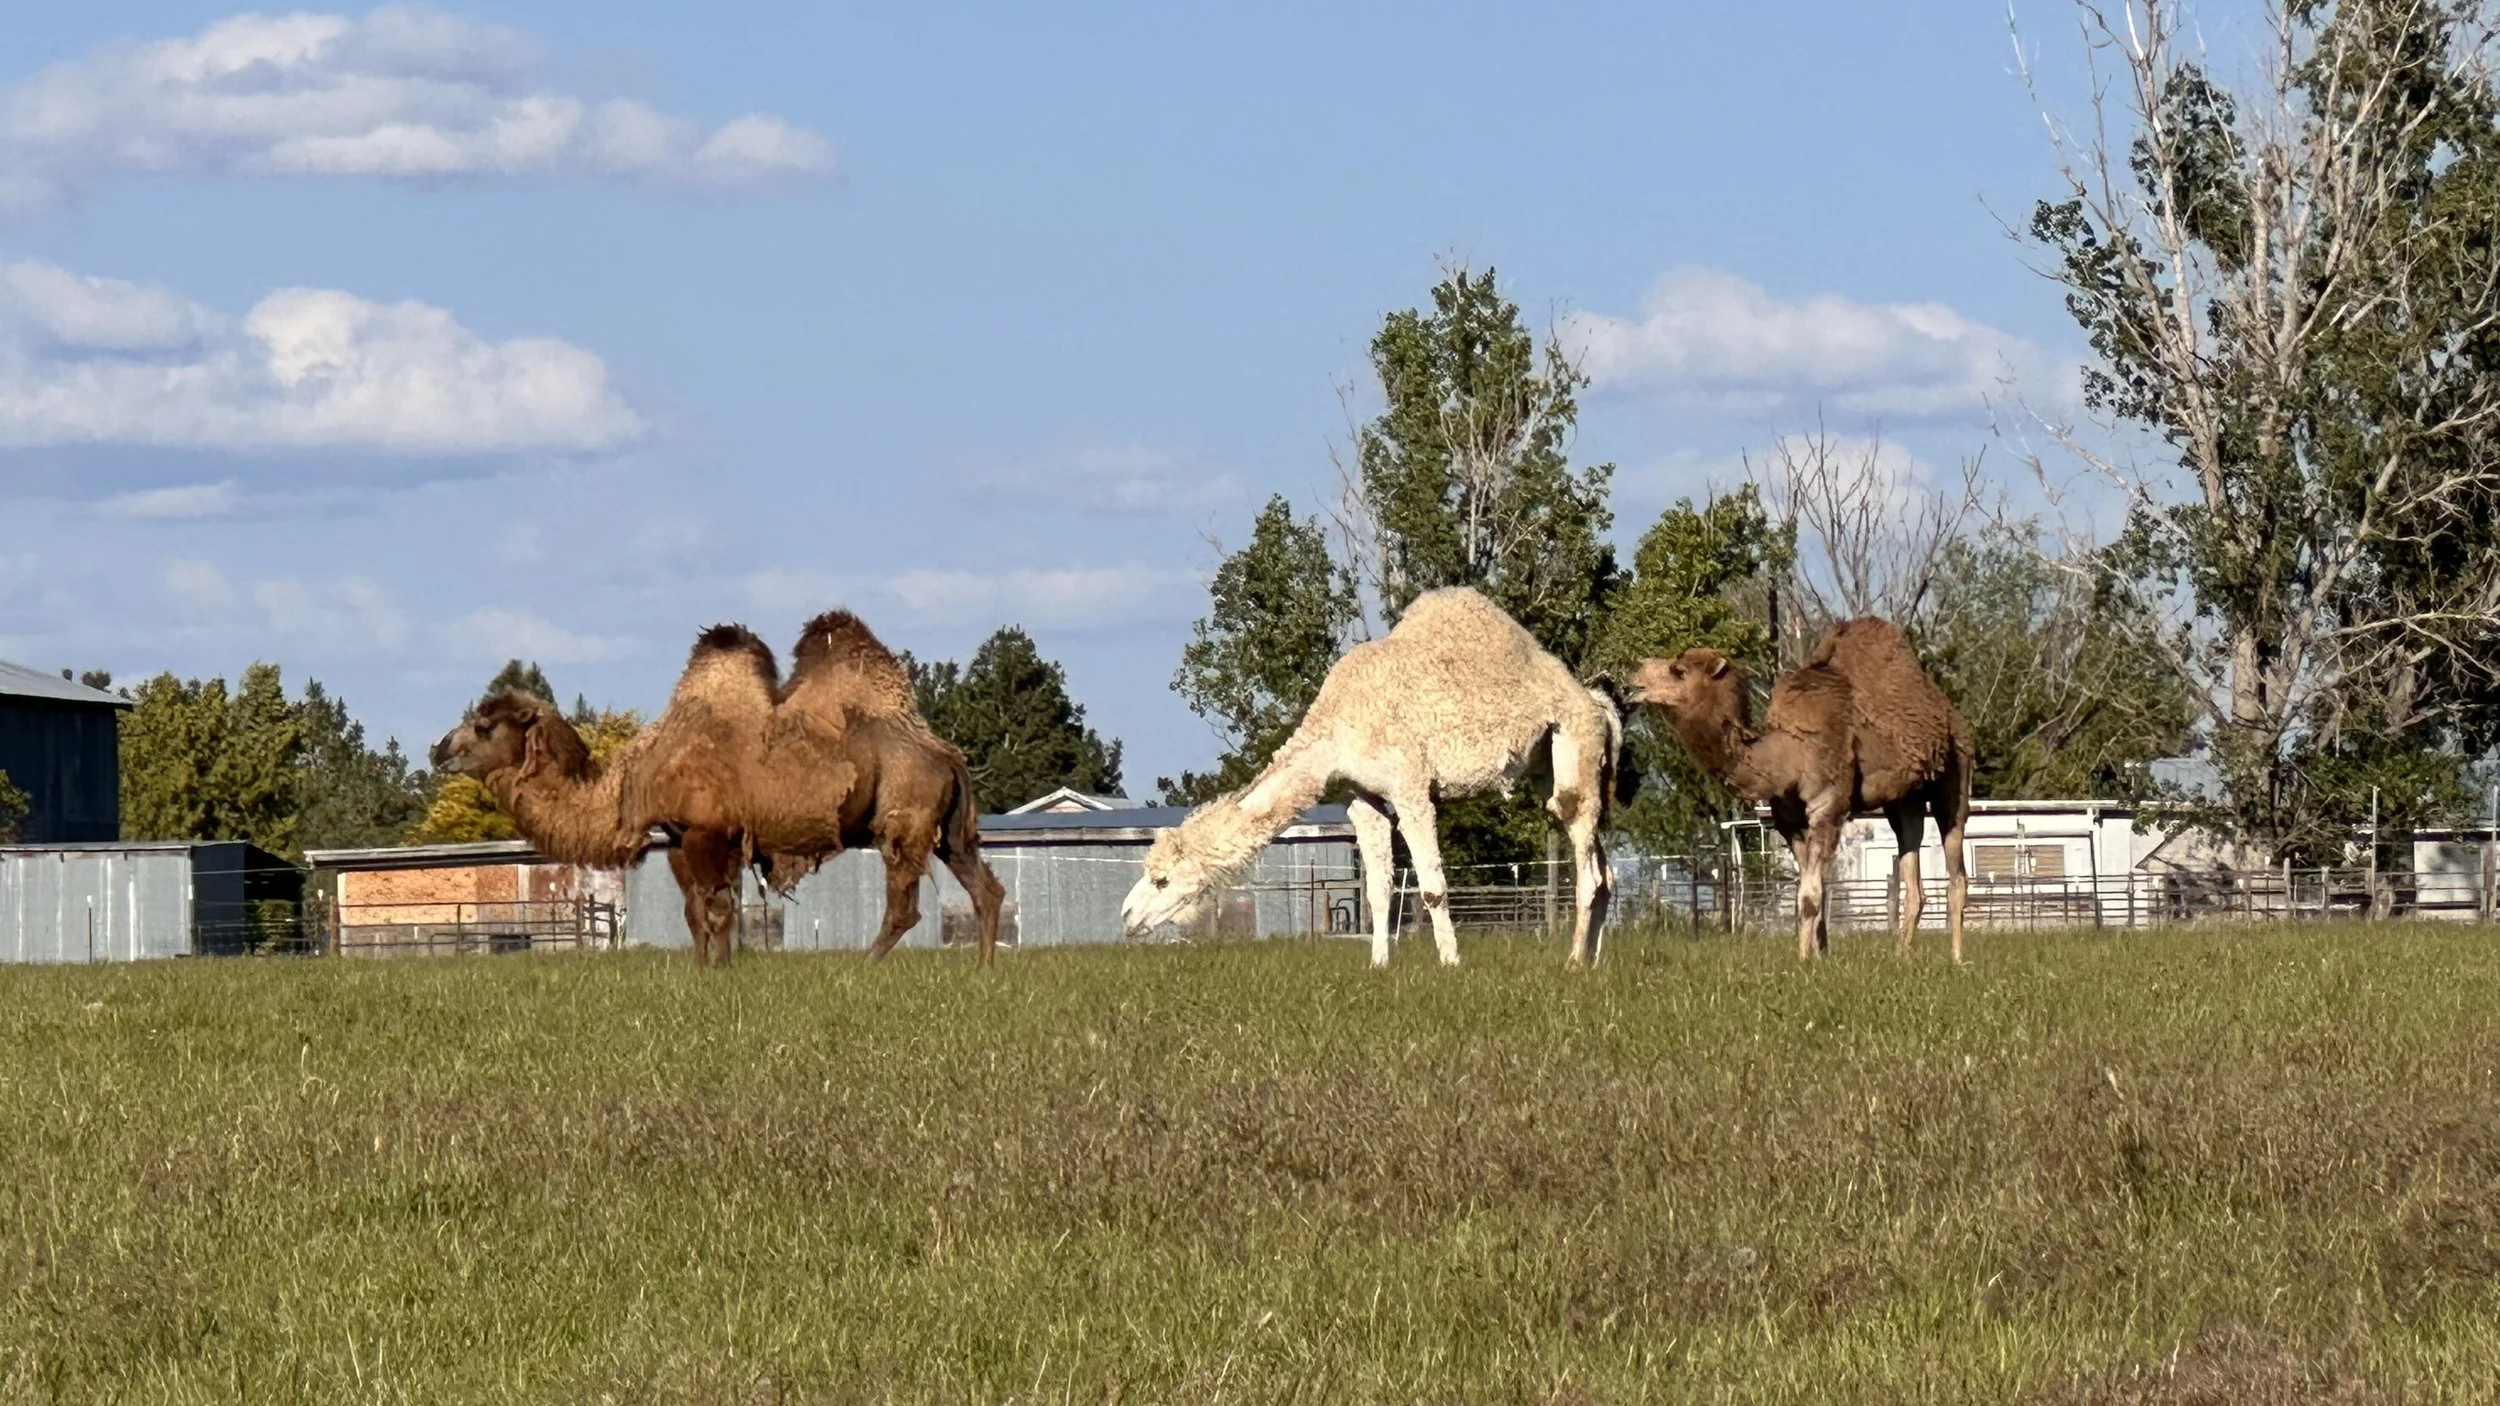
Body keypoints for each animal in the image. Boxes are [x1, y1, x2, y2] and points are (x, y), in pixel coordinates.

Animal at [428, 612, 1005, 968]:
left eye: (484, 725)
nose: (439, 749)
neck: (633, 780)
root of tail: (947, 753)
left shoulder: (709, 829)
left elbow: (718, 908)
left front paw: (722, 974)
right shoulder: (681, 837)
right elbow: (696, 911)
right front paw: (705, 971)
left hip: (905, 816)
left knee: (904, 903)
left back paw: (862, 967)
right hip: (948, 827)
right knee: (984, 888)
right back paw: (983, 969)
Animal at [1121, 587, 1622, 967]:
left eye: (1162, 879)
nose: (1126, 916)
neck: (1336, 732)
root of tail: (1598, 704)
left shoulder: (1412, 789)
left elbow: (1433, 888)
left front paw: (1451, 964)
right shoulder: (1363, 799)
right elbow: (1379, 891)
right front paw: (1379, 965)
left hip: (1573, 743)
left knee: (1585, 863)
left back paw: (1572, 960)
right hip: (1550, 765)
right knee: (1606, 871)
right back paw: (1594, 961)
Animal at [1631, 617, 1971, 962]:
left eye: (1679, 670)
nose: (1635, 676)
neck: (1786, 755)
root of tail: (1951, 714)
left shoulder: (1827, 806)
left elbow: (1810, 896)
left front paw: (1804, 961)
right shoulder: (1789, 822)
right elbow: (1811, 890)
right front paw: (1821, 957)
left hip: (1955, 774)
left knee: (1956, 865)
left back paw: (1956, 959)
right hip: (1904, 801)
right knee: (1913, 875)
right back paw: (1901, 956)